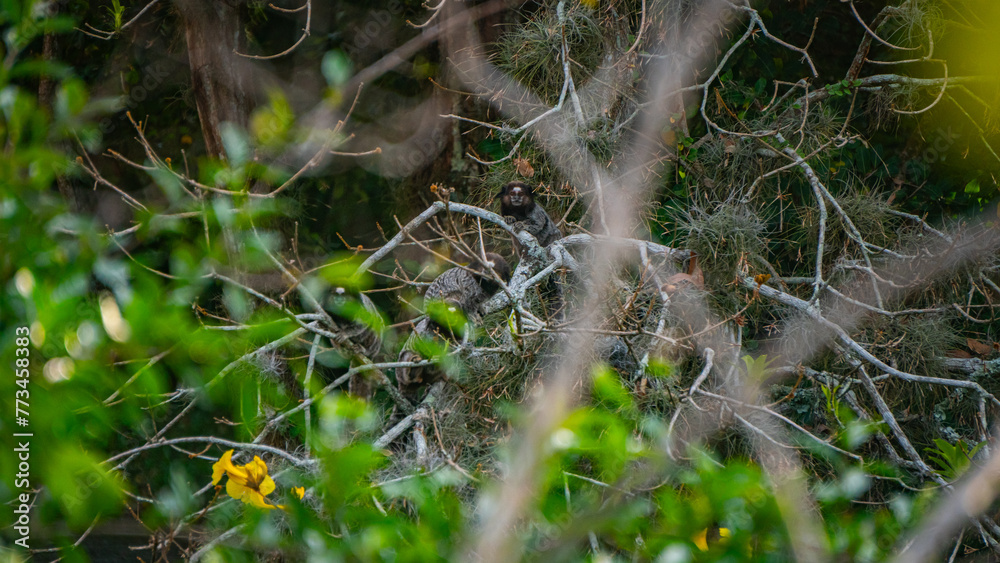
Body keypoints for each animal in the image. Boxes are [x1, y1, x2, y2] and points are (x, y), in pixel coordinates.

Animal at [396, 252, 511, 401]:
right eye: (484, 268)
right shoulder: (469, 286)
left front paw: (481, 309)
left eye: (494, 270)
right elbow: (468, 302)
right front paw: (473, 316)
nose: (486, 274)